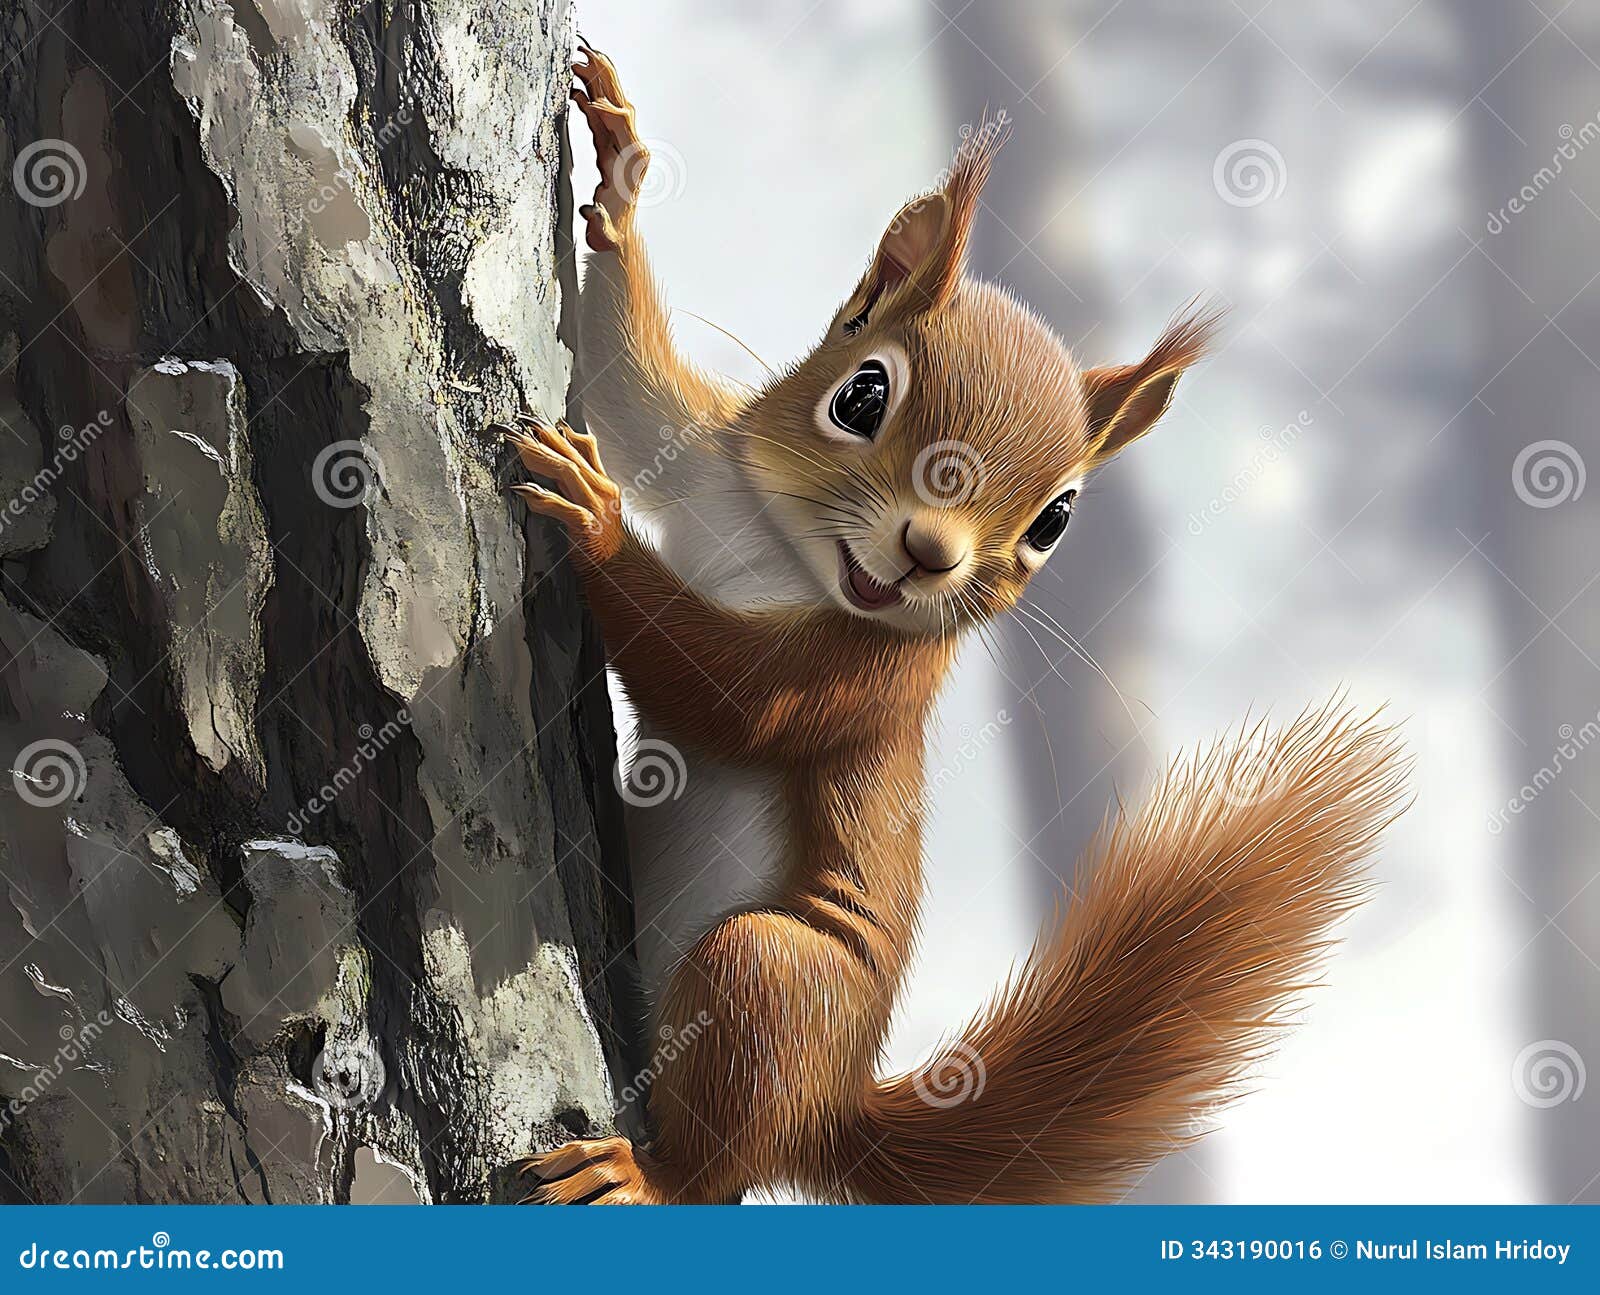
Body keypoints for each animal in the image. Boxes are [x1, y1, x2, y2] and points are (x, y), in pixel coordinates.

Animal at [499, 41, 1408, 1204]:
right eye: (860, 394)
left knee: (719, 1153)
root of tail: (828, 1107)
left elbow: (735, 698)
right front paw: (618, 169)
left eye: (1055, 518)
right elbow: (626, 379)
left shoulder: (876, 674)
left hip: (777, 986)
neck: (786, 550)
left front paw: (598, 520)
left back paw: (640, 1173)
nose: (929, 554)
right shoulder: (707, 455)